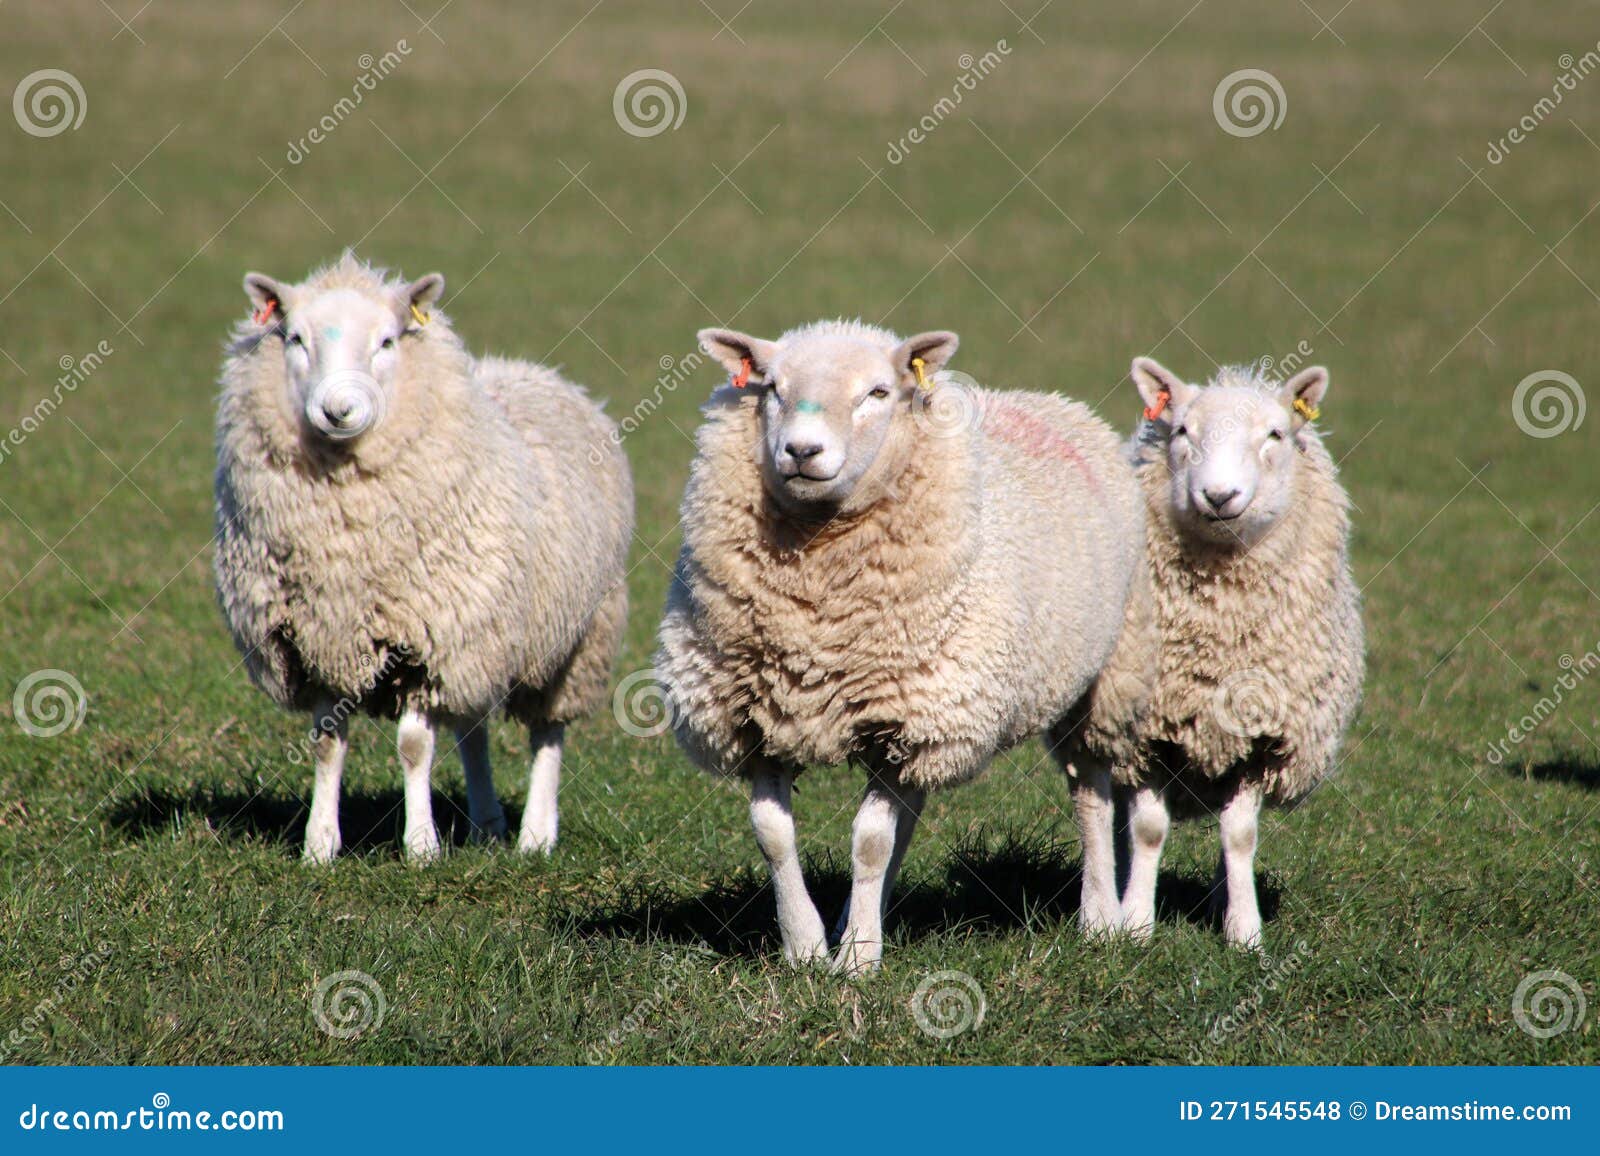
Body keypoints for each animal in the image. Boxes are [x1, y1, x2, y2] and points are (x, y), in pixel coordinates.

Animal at [213, 252, 633, 863]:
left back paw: (535, 834)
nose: (337, 410)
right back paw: (487, 824)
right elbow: (326, 745)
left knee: (547, 732)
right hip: (482, 631)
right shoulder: (320, 637)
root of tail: (534, 373)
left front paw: (420, 847)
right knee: (472, 726)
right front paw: (320, 845)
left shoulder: (425, 635)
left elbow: (414, 746)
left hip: (575, 638)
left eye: (387, 341)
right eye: (295, 338)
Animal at [654, 319, 1153, 973]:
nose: (801, 451)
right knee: (912, 816)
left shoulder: (908, 719)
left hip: (1099, 680)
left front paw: (858, 960)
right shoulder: (758, 718)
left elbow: (870, 842)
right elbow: (773, 833)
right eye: (772, 389)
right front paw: (807, 946)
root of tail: (1052, 402)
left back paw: (1100, 919)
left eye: (878, 392)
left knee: (1090, 794)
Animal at [1119, 357, 1364, 947]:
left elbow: (1239, 835)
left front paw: (1244, 931)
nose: (1219, 495)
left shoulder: (1263, 734)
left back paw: (1222, 898)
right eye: (1181, 431)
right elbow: (1148, 829)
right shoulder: (1147, 733)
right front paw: (1134, 923)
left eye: (1274, 434)